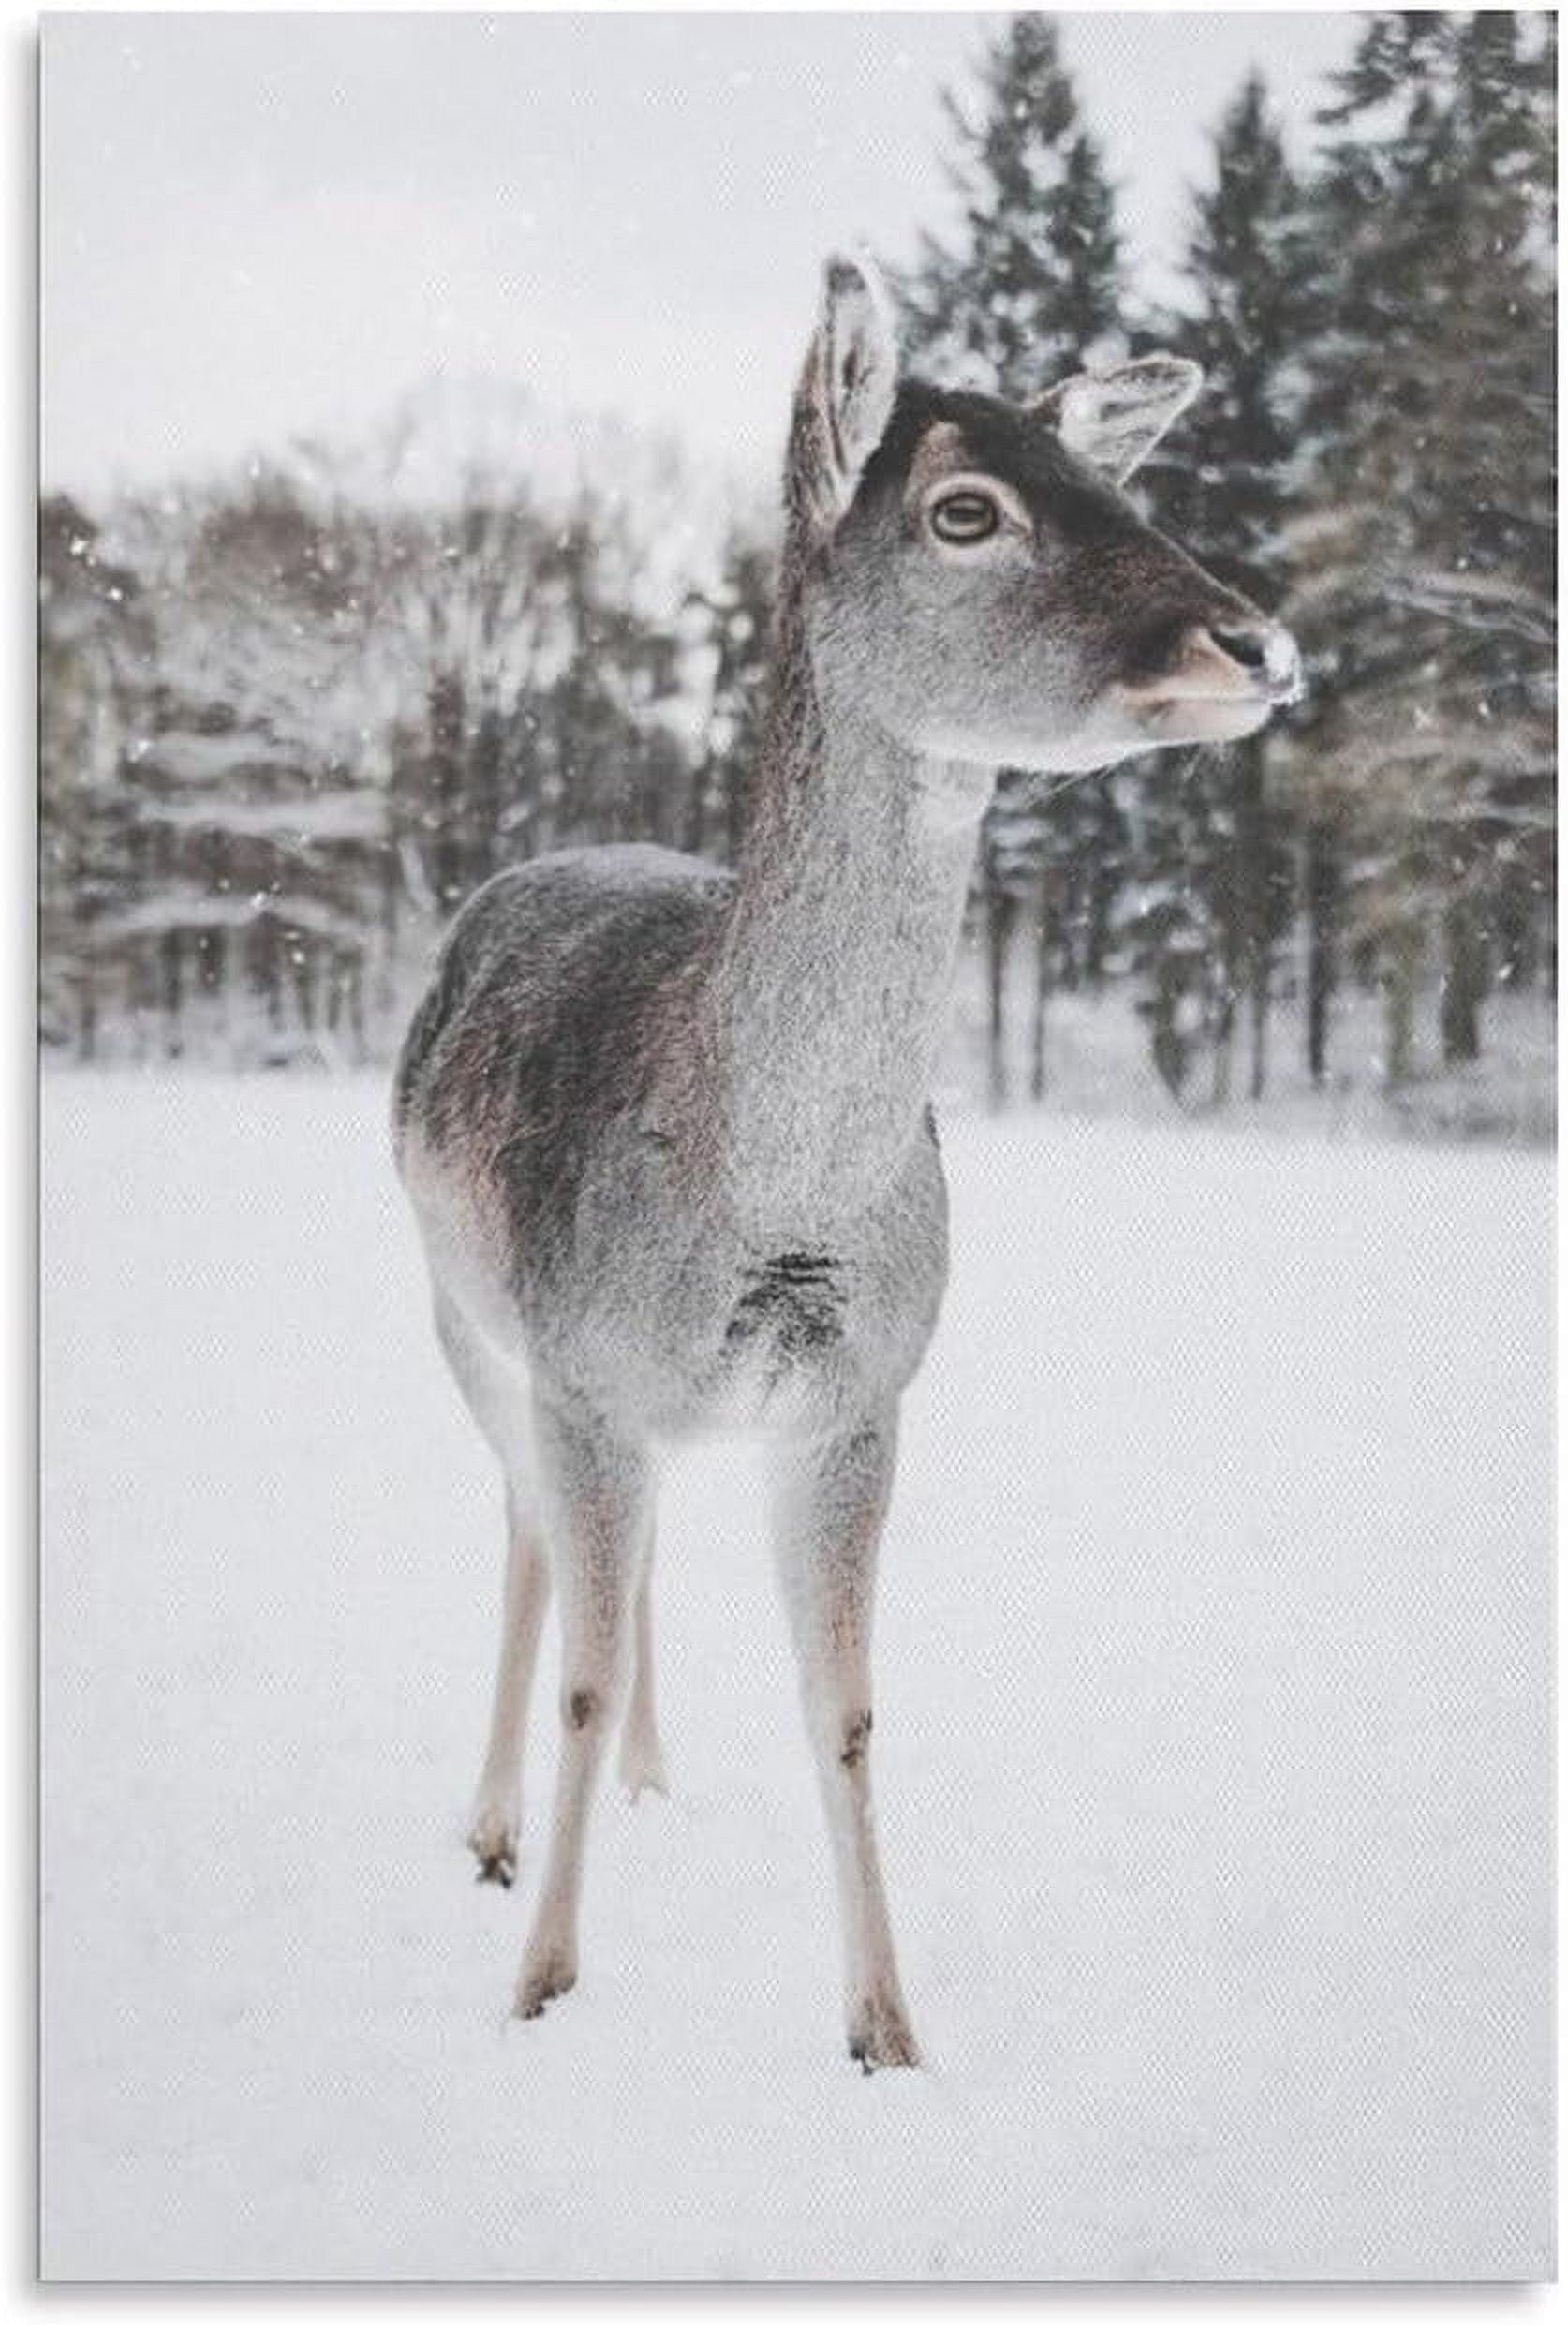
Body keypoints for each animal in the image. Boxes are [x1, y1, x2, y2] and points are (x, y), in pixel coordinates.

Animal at [392, 253, 1301, 2070]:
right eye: (964, 509)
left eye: (1117, 480)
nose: (1254, 639)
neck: (775, 1207)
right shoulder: (582, 1367)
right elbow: (581, 1661)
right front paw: (541, 1985)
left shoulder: (861, 1390)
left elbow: (848, 1703)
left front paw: (886, 2028)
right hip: (459, 1311)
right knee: (526, 1533)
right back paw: (492, 1825)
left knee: (618, 1566)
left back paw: (653, 1777)